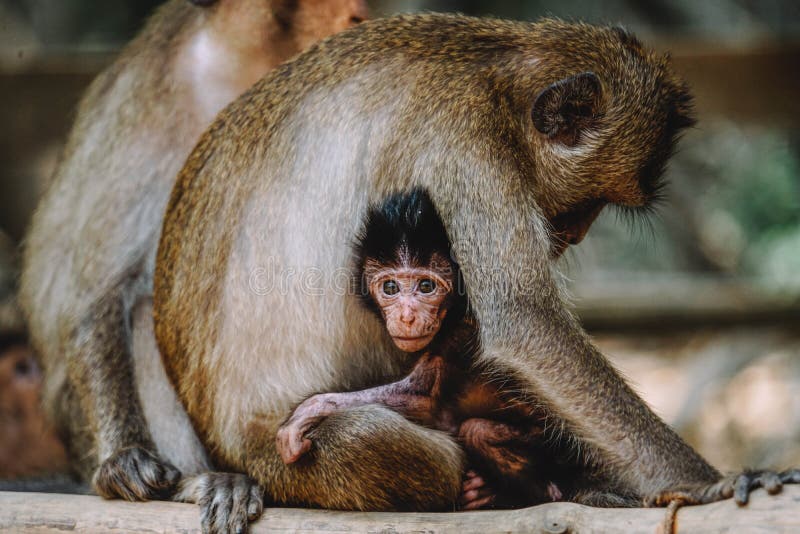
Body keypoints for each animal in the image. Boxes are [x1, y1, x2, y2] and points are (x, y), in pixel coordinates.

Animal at [19, 0, 367, 530]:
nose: (358, 19)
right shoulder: (150, 102)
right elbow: (94, 293)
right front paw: (125, 457)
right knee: (142, 314)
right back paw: (198, 483)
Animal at [153, 13, 799, 519]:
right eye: (588, 202)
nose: (576, 231)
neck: (502, 69)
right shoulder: (469, 148)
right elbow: (526, 324)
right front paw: (712, 483)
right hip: (281, 461)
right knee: (406, 447)